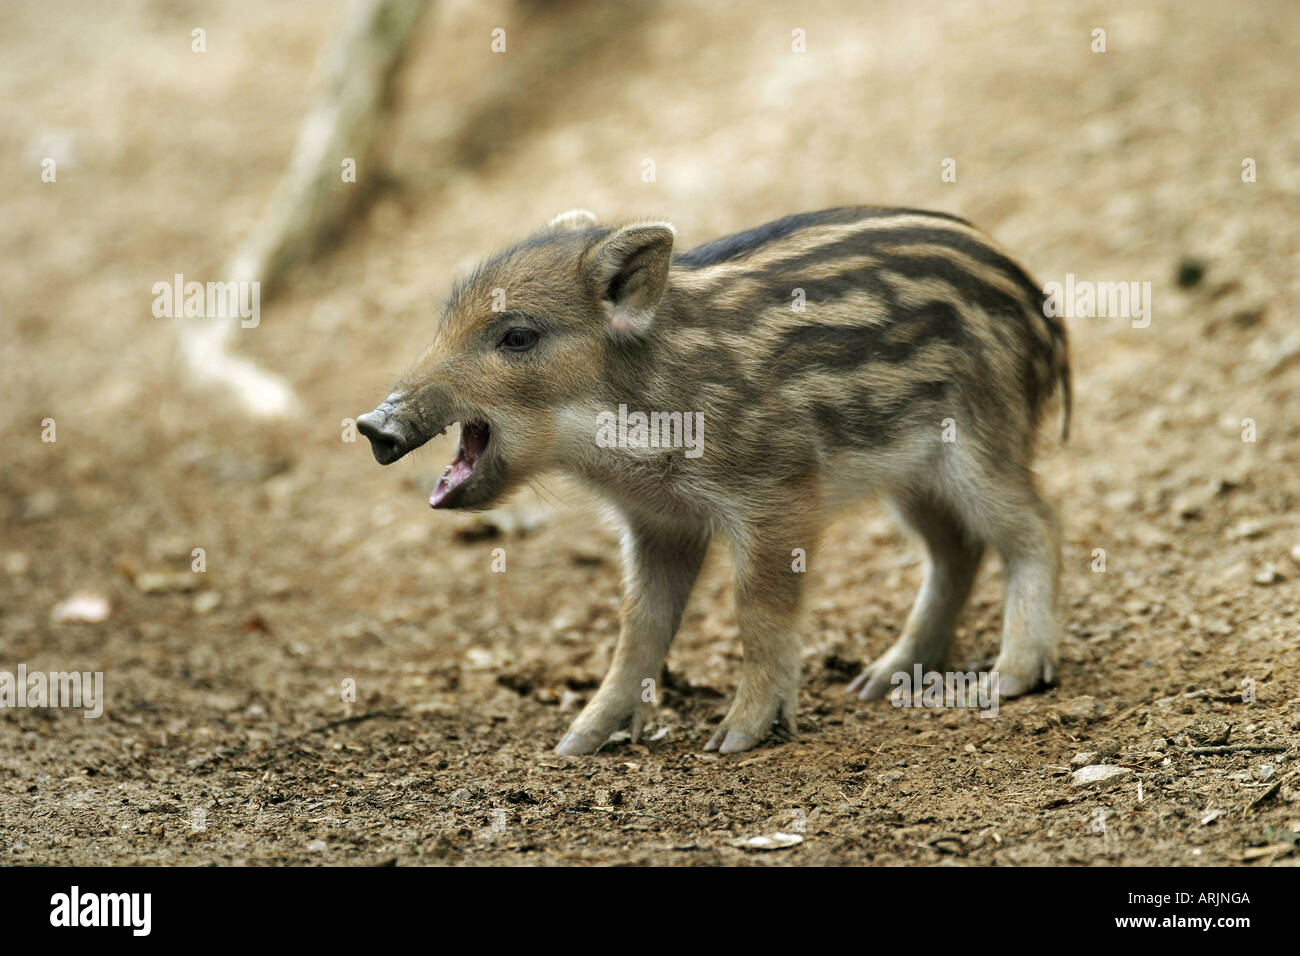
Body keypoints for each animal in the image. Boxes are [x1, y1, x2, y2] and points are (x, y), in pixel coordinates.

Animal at [357, 206, 1070, 755]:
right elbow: (638, 627)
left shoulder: (779, 494)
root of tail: (1043, 309)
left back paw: (1007, 679)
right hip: (913, 473)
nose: (372, 425)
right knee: (957, 549)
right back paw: (880, 680)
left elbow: (755, 610)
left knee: (1036, 527)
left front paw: (735, 737)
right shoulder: (658, 522)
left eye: (518, 336)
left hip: (981, 438)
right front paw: (576, 743)